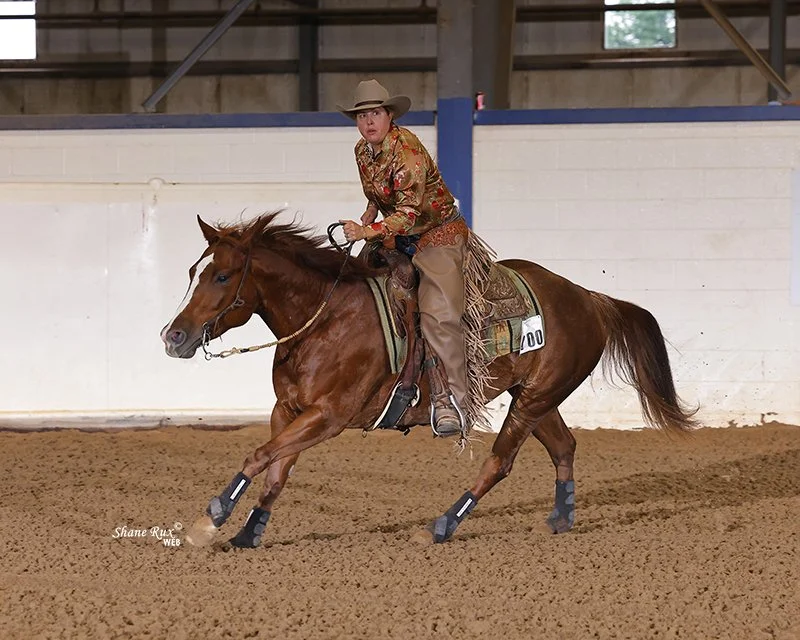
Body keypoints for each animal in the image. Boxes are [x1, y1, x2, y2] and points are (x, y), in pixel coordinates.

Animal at [160, 211, 698, 549]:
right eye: (193, 272)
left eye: (223, 276)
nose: (174, 336)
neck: (327, 317)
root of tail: (587, 297)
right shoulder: (287, 411)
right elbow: (276, 468)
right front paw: (248, 533)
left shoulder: (327, 417)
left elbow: (260, 456)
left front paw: (209, 520)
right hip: (537, 397)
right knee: (564, 447)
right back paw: (560, 519)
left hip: (534, 399)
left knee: (498, 464)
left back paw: (439, 526)